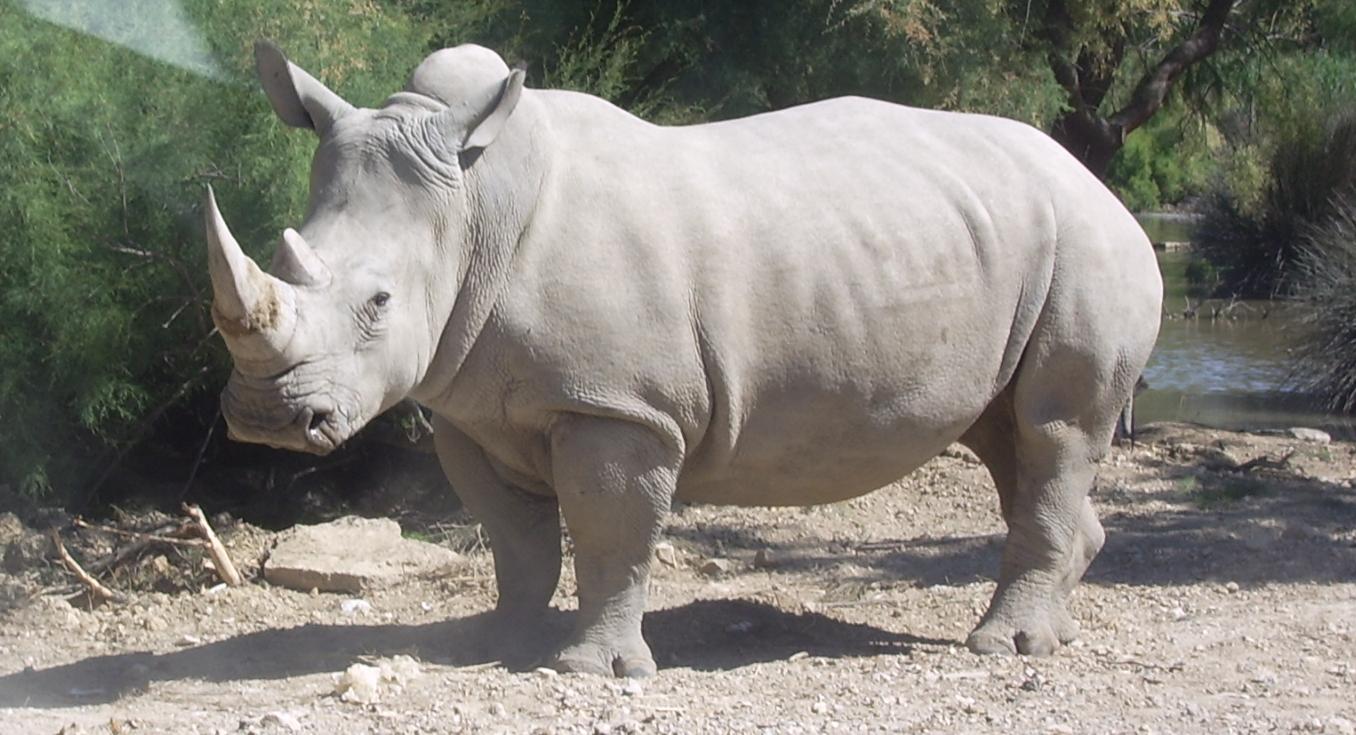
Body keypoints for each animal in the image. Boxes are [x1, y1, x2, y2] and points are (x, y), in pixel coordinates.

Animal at [206, 41, 1162, 677]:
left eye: (379, 303)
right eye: (281, 254)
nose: (265, 418)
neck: (475, 206)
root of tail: (1106, 188)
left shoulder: (619, 405)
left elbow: (609, 529)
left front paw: (591, 670)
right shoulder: (468, 407)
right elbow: (515, 538)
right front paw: (496, 643)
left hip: (1090, 245)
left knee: (1052, 431)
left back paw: (1005, 646)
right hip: (1014, 243)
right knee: (1012, 439)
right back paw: (1055, 631)